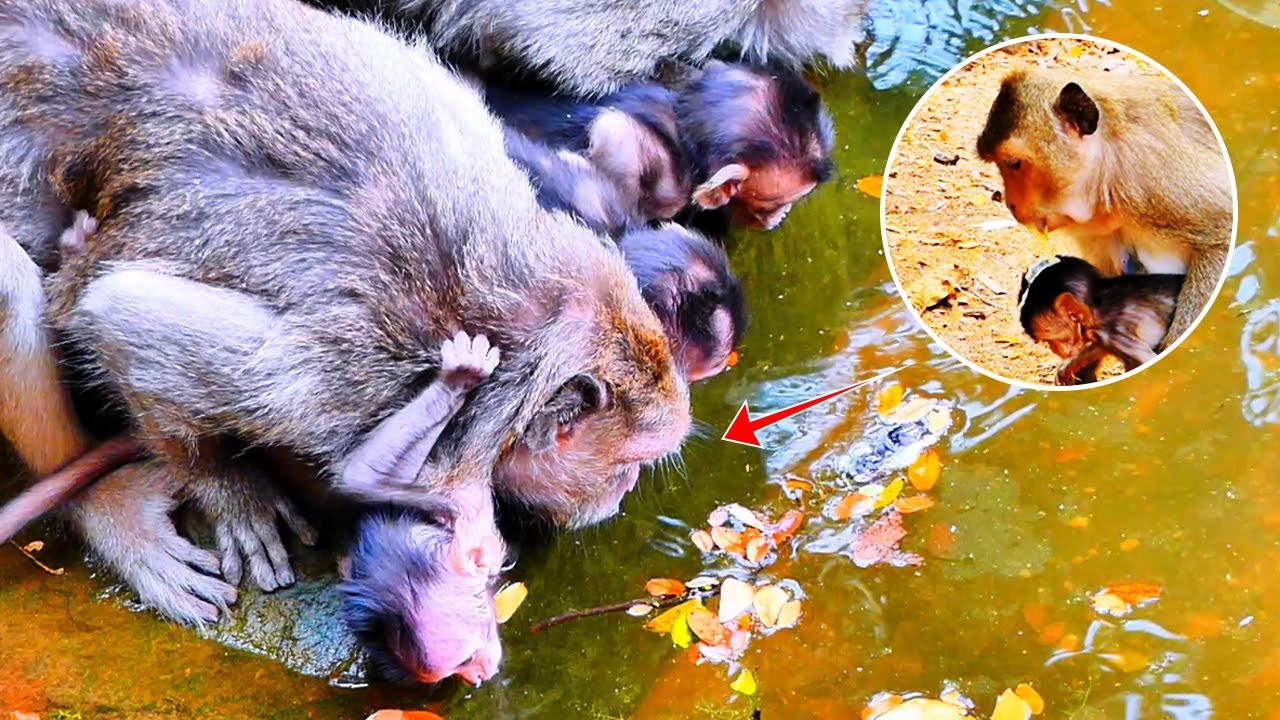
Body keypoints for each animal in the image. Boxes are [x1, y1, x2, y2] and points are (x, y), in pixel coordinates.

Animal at [0, 0, 690, 668]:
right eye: (629, 463)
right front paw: (224, 486)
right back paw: (110, 511)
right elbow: (118, 316)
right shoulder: (344, 380)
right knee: (23, 284)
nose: (623, 494)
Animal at [1017, 256, 1183, 386]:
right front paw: (1068, 366)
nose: (1055, 350)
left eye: (1051, 341)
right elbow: (1097, 348)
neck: (1097, 306)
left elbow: (1146, 361)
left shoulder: (1113, 335)